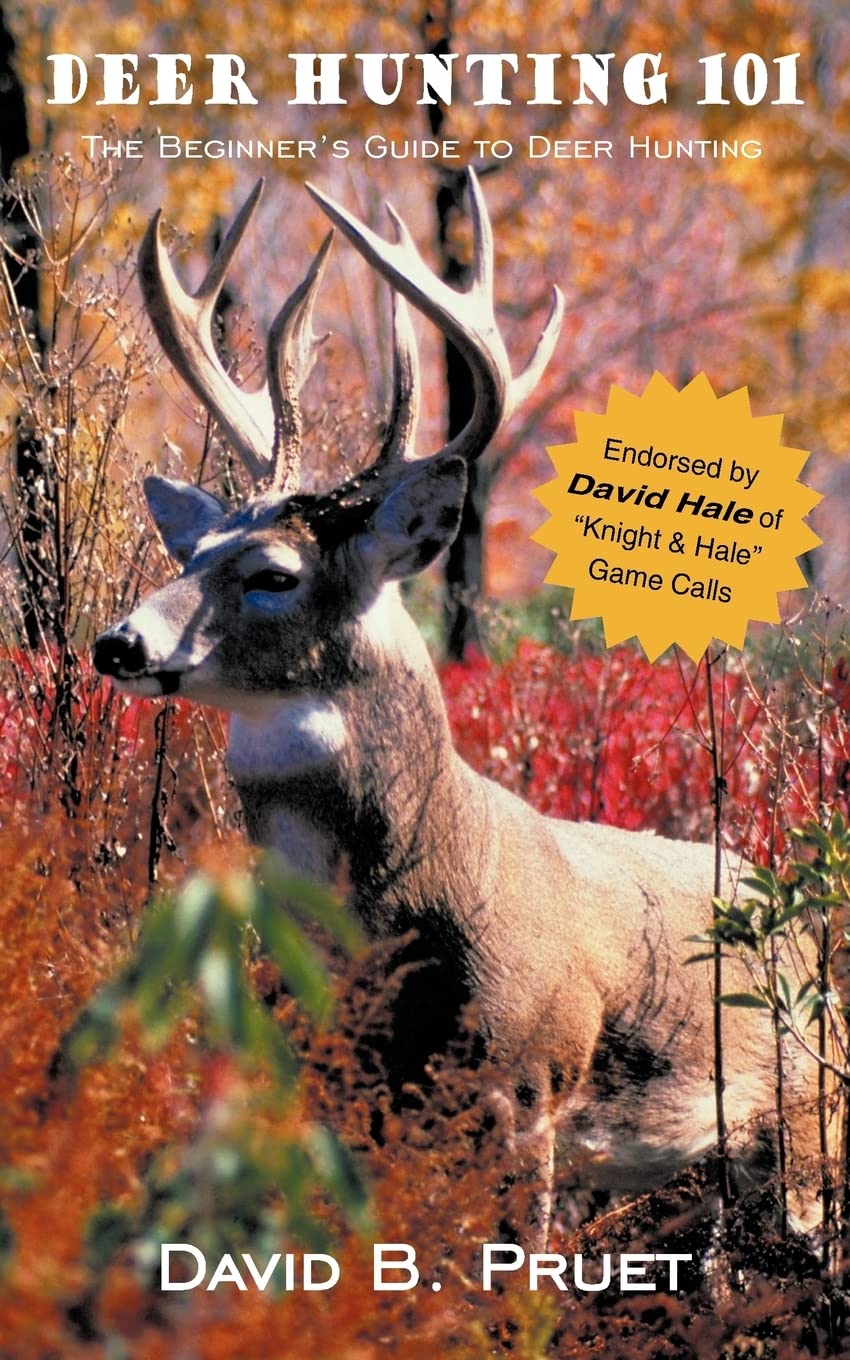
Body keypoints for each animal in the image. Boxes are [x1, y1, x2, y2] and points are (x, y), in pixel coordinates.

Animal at [93, 173, 835, 1252]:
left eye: (272, 573)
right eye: (189, 555)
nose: (118, 643)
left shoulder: (524, 1083)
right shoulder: (337, 1089)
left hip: (809, 1102)